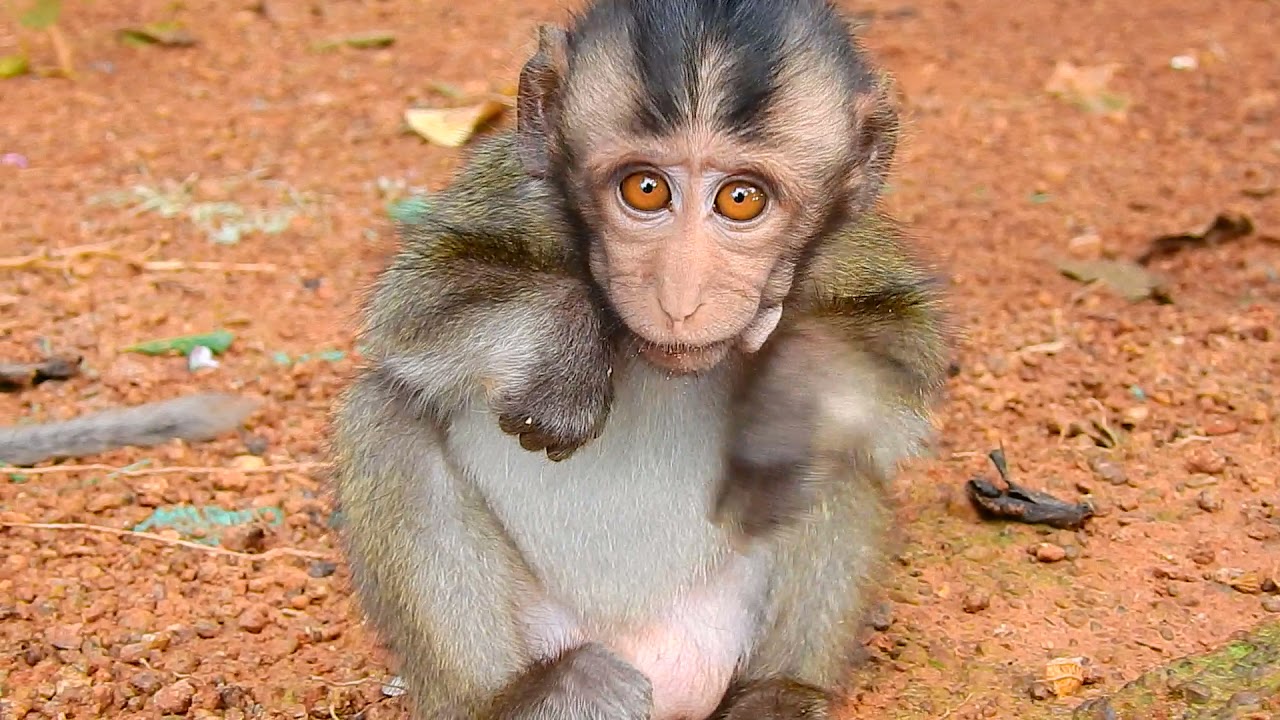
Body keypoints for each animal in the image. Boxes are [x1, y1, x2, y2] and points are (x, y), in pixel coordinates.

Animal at [330, 1, 950, 718]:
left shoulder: (847, 242)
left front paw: (794, 391)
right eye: (646, 189)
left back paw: (778, 694)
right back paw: (525, 696)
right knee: (386, 409)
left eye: (742, 199)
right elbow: (417, 298)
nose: (680, 297)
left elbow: (908, 348)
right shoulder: (518, 187)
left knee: (835, 455)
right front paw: (567, 354)